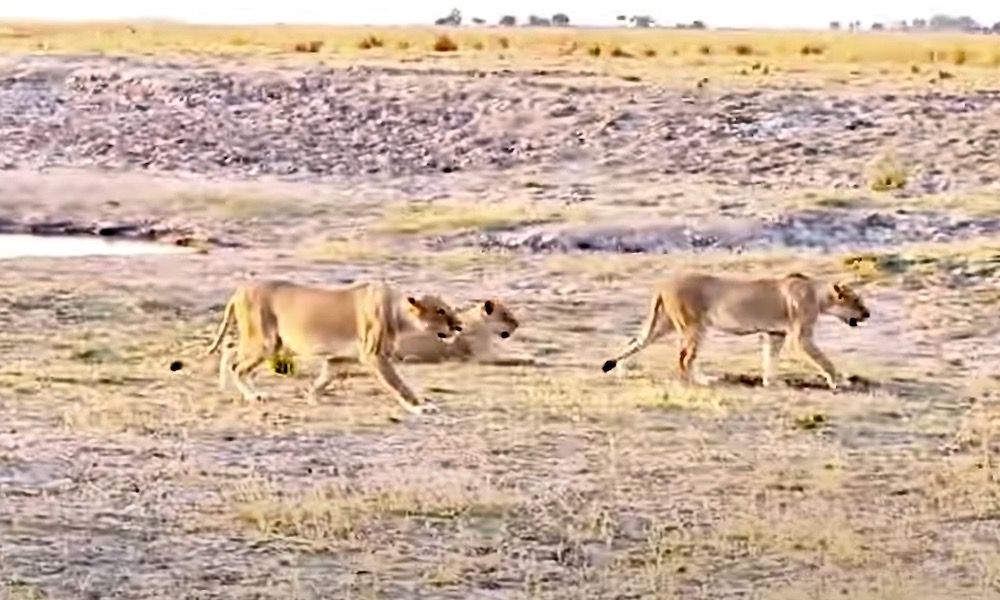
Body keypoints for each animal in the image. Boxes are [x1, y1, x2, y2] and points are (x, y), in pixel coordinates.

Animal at [204, 279, 464, 414]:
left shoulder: (338, 358)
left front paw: (311, 398)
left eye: (448, 308)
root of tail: (240, 290)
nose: (460, 326)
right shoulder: (375, 356)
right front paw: (421, 407)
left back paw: (230, 389)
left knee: (230, 350)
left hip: (264, 341)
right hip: (266, 342)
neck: (399, 314)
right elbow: (399, 385)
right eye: (441, 310)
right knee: (237, 365)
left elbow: (324, 379)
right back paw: (253, 395)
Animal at [601, 272, 870, 389]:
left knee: (634, 341)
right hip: (694, 327)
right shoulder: (799, 337)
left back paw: (621, 370)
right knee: (685, 358)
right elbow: (824, 360)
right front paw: (839, 381)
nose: (868, 314)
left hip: (665, 325)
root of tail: (664, 283)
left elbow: (770, 359)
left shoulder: (775, 334)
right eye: (857, 301)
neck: (818, 294)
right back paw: (696, 383)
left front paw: (770, 383)